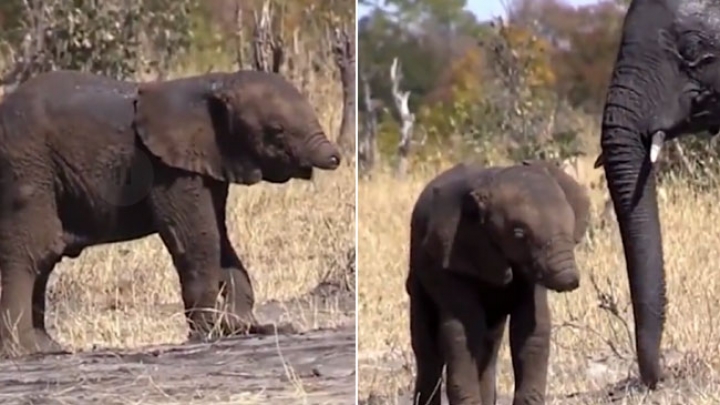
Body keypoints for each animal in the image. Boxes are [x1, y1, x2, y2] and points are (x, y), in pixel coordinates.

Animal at [0, 69, 341, 357]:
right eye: (277, 131)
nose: (335, 158)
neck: (215, 82)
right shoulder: (168, 169)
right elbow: (196, 237)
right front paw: (209, 333)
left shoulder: (209, 162)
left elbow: (221, 238)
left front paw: (244, 326)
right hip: (28, 166)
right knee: (35, 248)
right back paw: (24, 351)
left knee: (45, 257)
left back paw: (49, 348)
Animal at [406, 160, 590, 405]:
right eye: (519, 234)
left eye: (570, 222)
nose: (570, 280)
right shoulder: (450, 256)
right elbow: (464, 328)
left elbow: (533, 328)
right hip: (417, 270)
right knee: (428, 349)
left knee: (489, 347)